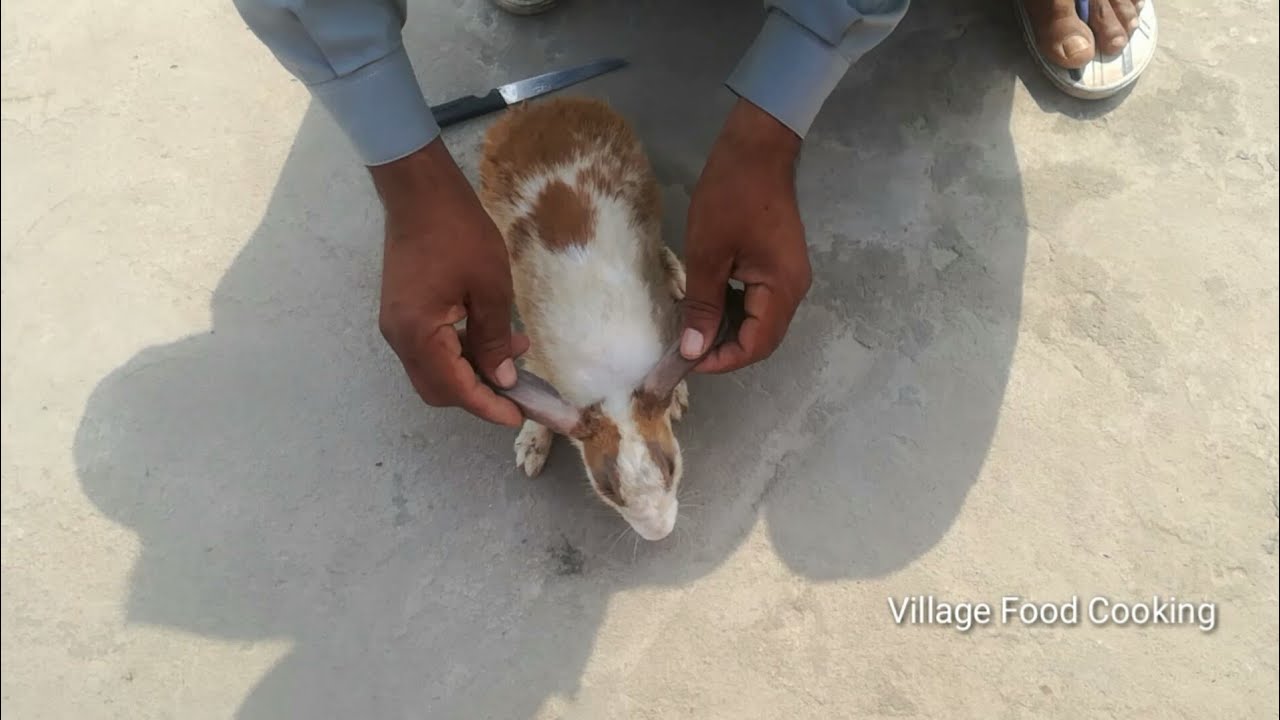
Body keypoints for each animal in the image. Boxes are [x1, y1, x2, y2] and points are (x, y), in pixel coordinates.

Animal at [476, 96, 742, 541]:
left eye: (672, 466)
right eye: (607, 489)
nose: (659, 534)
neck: (613, 380)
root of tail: (541, 106)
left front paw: (677, 399)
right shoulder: (537, 352)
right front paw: (530, 448)